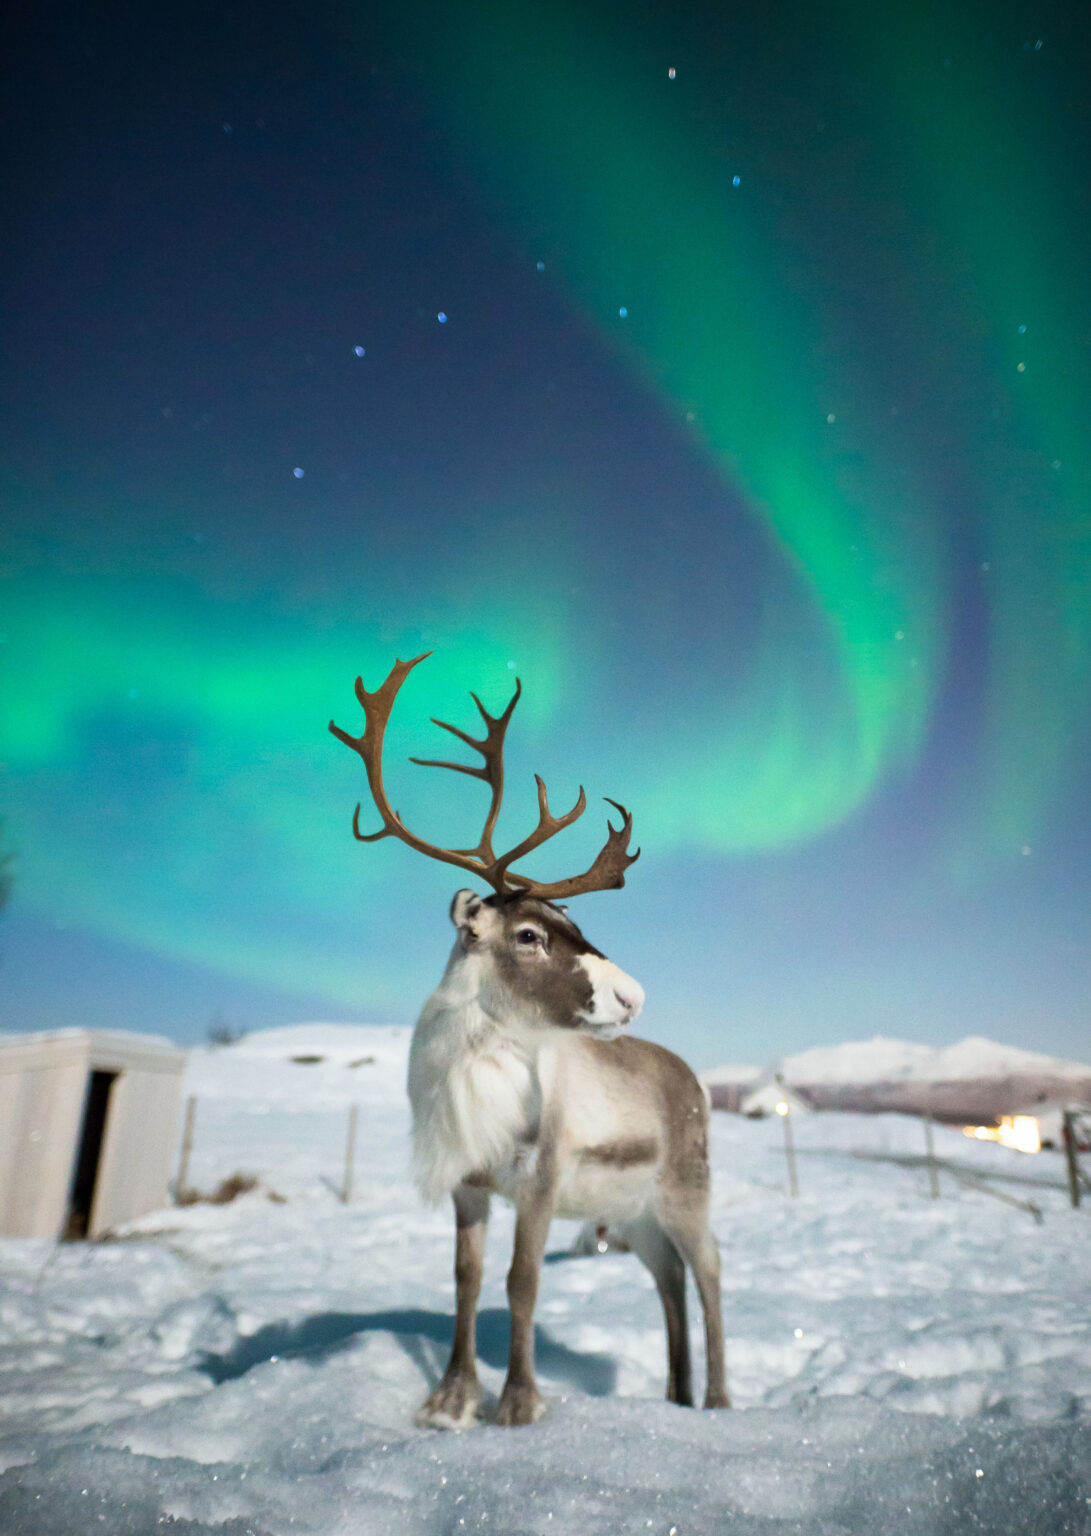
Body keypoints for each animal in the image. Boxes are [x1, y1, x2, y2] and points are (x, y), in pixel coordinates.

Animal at [330, 654, 729, 1427]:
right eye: (528, 935)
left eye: (573, 922)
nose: (634, 995)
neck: (473, 1069)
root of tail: (691, 1074)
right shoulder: (468, 1181)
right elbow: (466, 1276)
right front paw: (450, 1400)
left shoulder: (540, 1179)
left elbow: (521, 1281)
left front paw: (518, 1402)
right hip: (632, 1213)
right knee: (668, 1279)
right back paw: (675, 1397)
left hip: (684, 1191)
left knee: (711, 1271)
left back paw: (719, 1402)